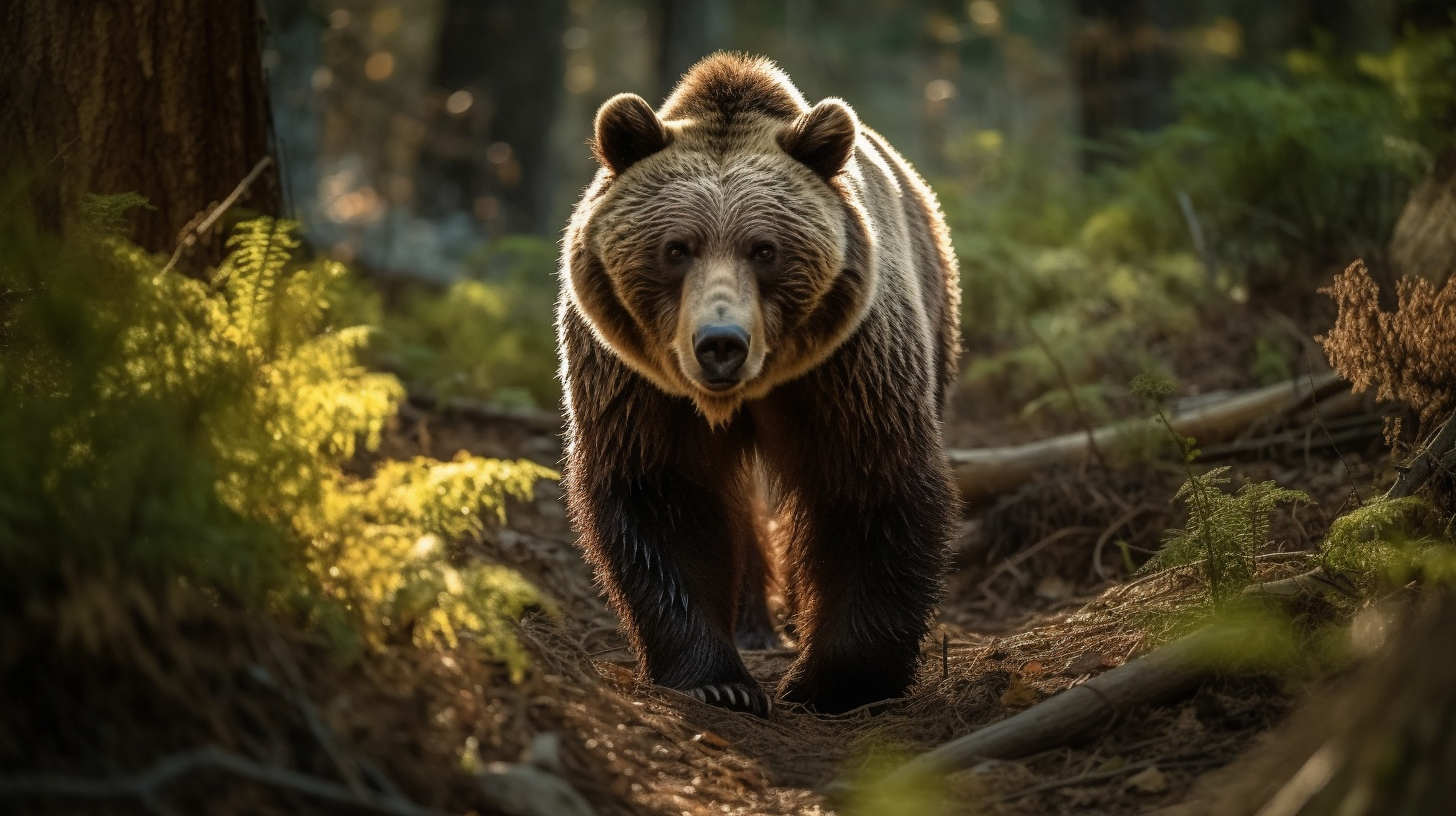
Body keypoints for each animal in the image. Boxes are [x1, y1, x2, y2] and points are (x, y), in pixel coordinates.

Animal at [558, 53, 960, 716]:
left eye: (764, 249)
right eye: (676, 248)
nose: (721, 343)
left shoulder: (848, 369)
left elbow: (870, 486)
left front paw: (833, 683)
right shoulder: (638, 386)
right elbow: (663, 495)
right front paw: (717, 680)